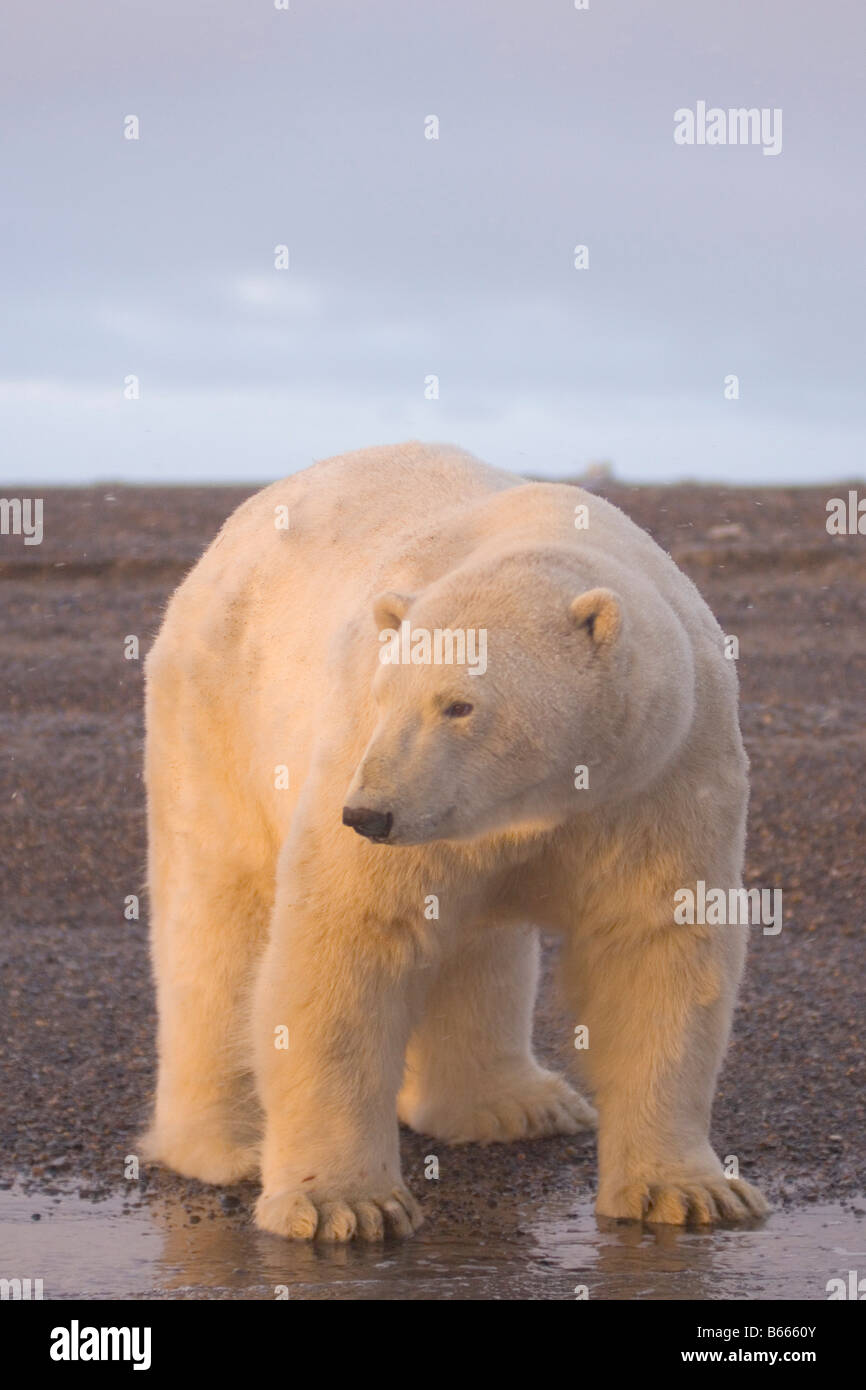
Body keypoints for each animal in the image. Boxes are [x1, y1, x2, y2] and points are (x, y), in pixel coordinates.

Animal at [142, 440, 767, 1240]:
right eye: (385, 695)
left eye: (459, 705)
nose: (368, 815)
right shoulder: (366, 762)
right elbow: (347, 944)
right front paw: (344, 1204)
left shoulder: (661, 776)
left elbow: (656, 943)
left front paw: (688, 1192)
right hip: (221, 717)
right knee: (214, 925)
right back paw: (226, 1146)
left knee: (479, 948)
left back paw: (514, 1104)